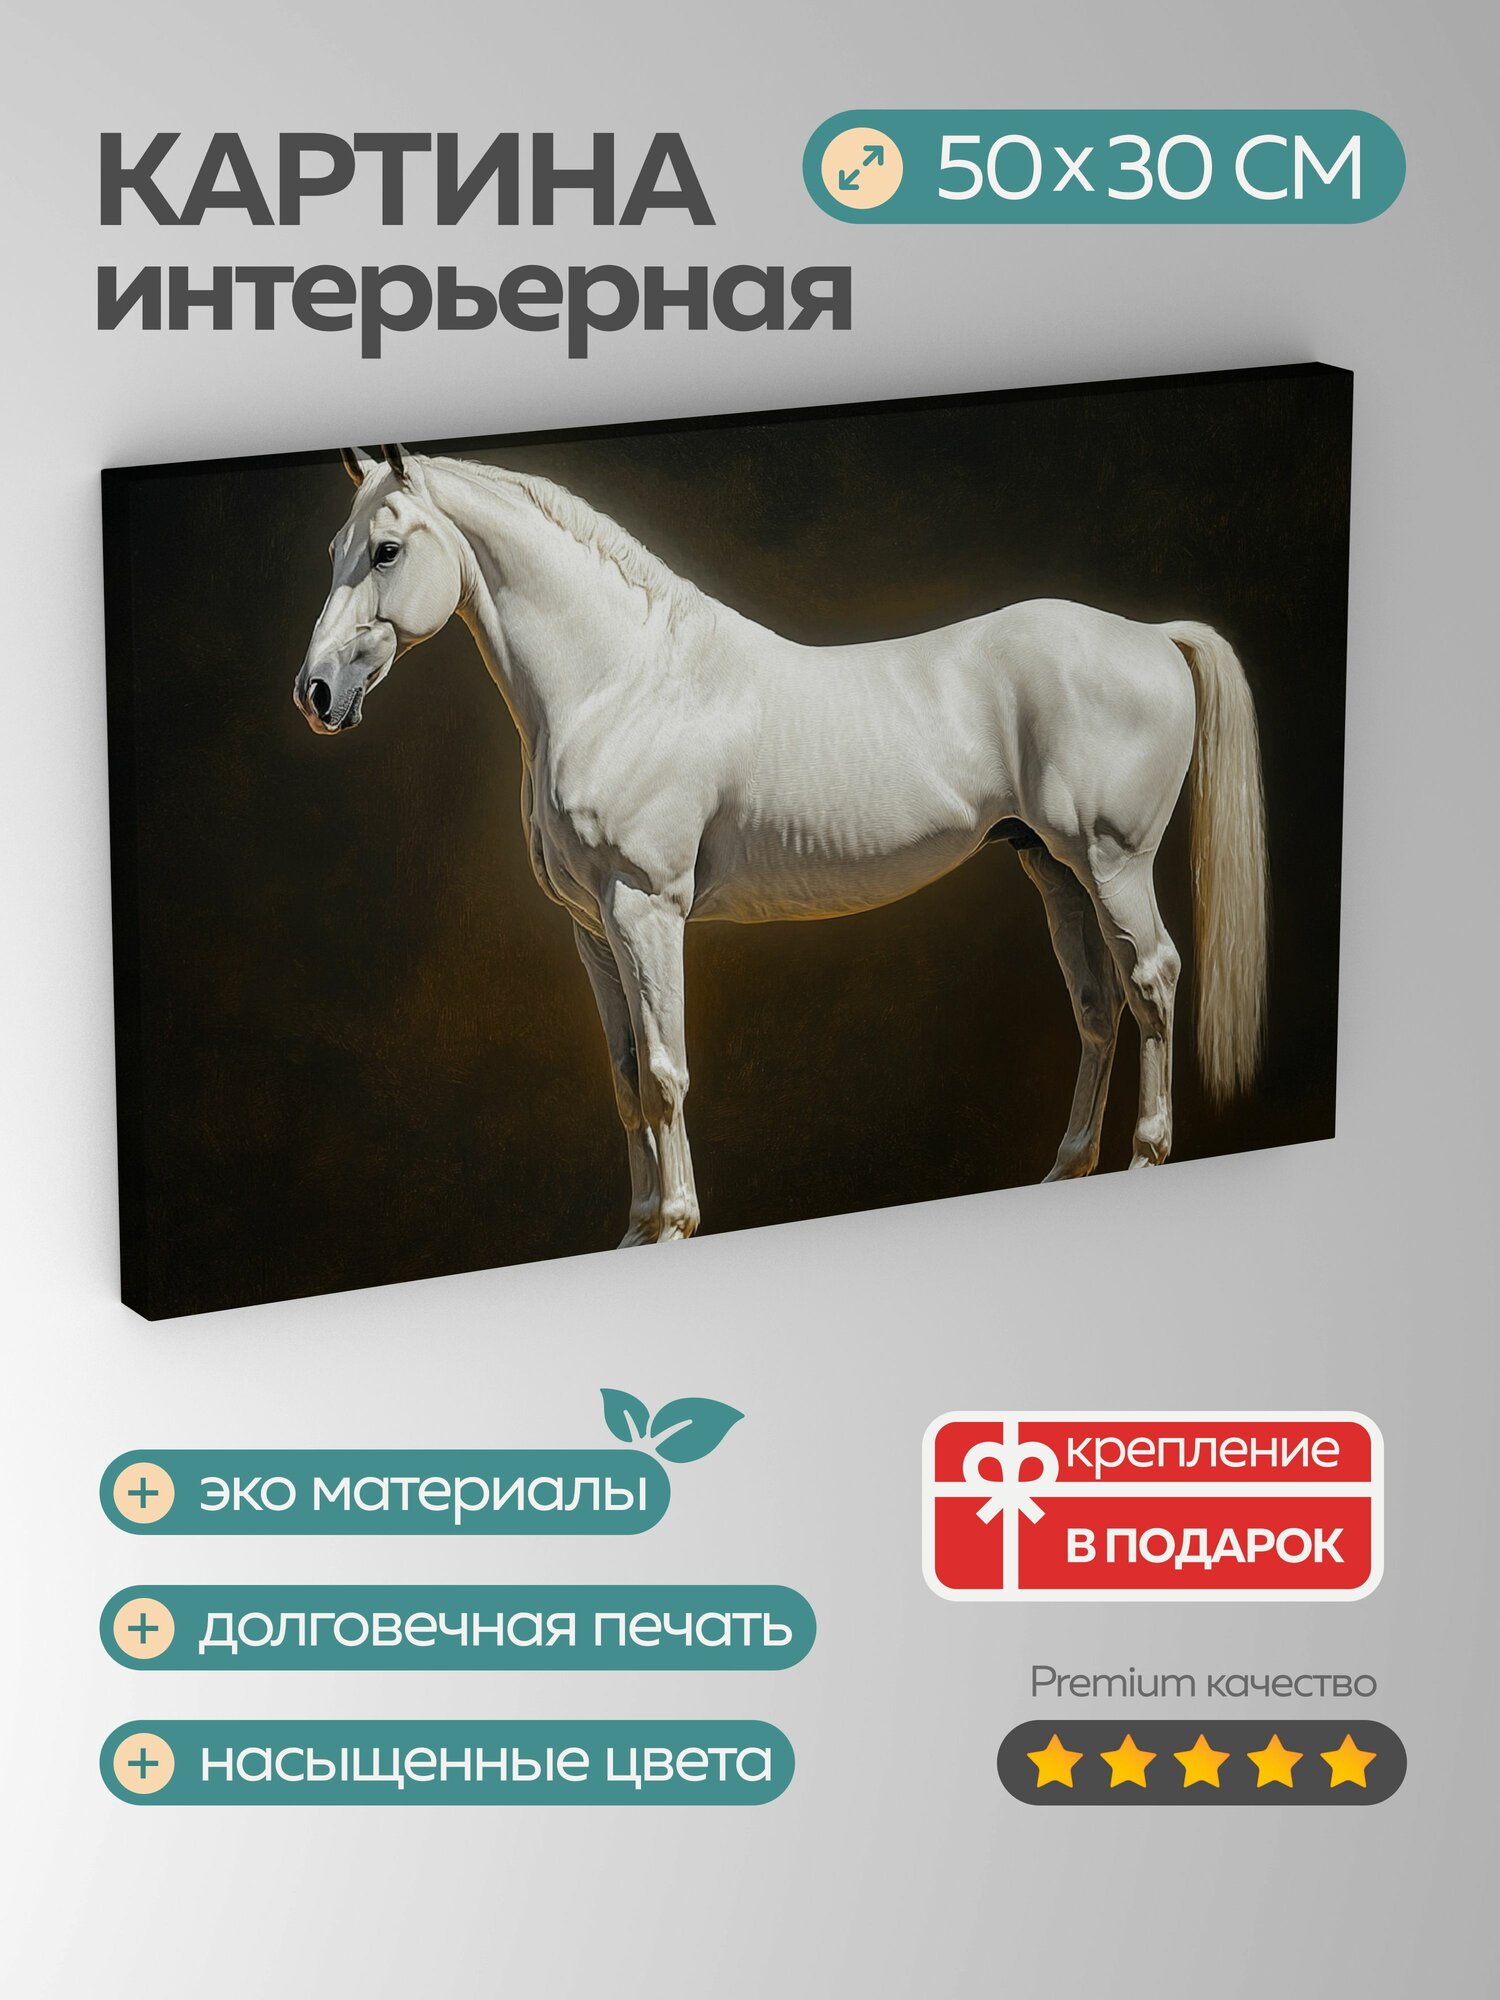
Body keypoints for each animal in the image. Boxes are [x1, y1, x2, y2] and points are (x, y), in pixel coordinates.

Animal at [294, 443, 1269, 1246]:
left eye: (386, 550)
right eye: (334, 550)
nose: (316, 693)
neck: (623, 682)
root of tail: (1152, 636)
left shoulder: (646, 910)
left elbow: (665, 1072)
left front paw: (677, 1223)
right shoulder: (590, 929)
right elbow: (624, 1079)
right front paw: (637, 1228)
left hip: (1112, 863)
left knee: (1151, 984)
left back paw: (1147, 1151)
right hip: (1051, 867)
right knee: (1098, 1006)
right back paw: (1067, 1166)